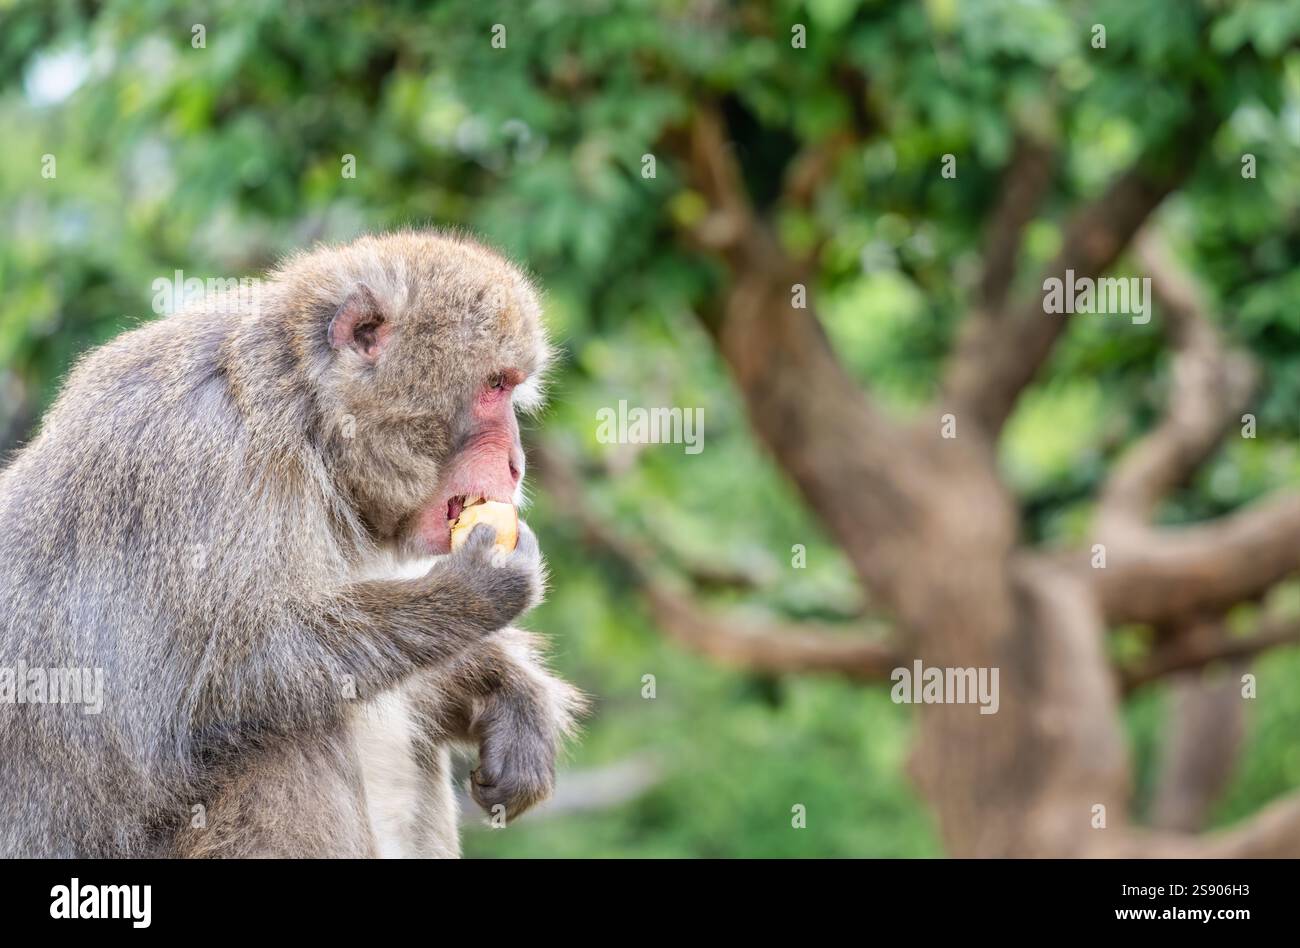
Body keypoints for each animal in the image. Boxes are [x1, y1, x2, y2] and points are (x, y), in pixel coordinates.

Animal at [0, 230, 583, 857]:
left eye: (510, 386)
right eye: (494, 385)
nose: (517, 464)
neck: (304, 418)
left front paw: (508, 689)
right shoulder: (203, 467)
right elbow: (210, 687)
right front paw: (471, 594)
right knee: (285, 735)